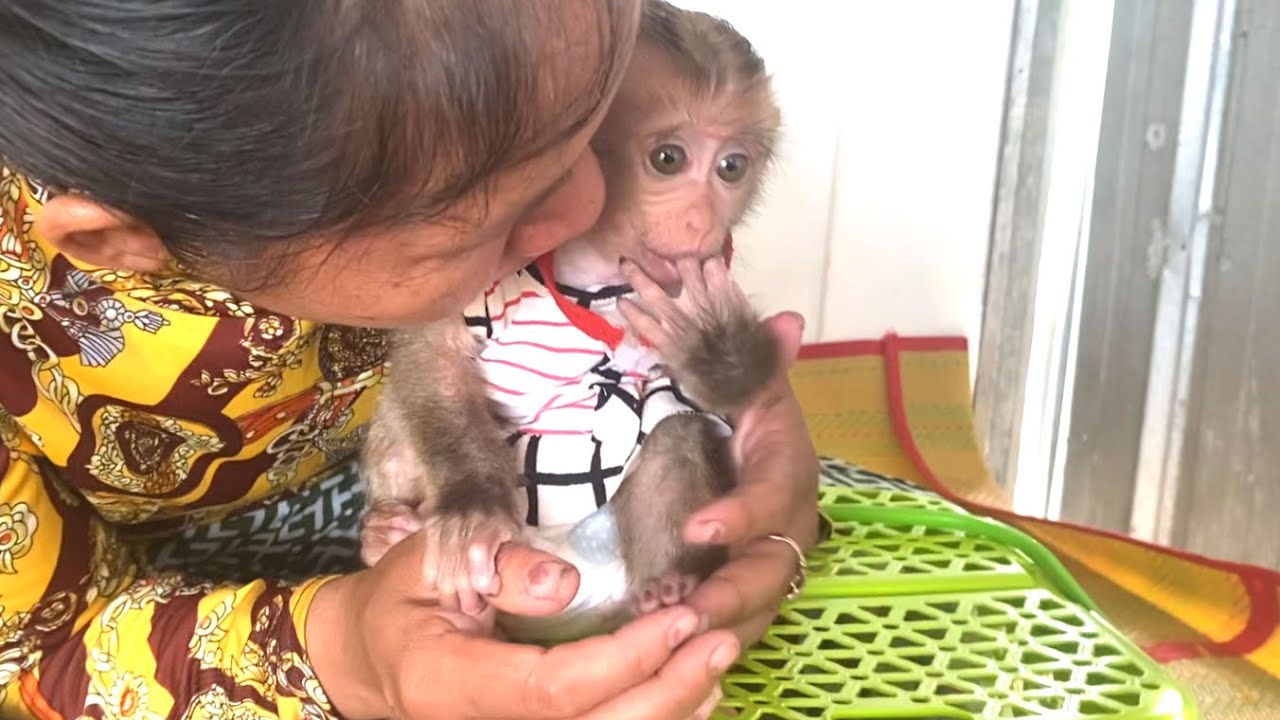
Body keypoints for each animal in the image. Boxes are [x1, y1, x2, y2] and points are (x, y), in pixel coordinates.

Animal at [359, 0, 783, 643]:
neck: (595, 263)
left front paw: (706, 340)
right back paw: (386, 535)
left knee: (669, 427)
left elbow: (711, 396)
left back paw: (669, 587)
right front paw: (473, 505)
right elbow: (433, 357)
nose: (700, 220)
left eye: (731, 167)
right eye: (668, 159)